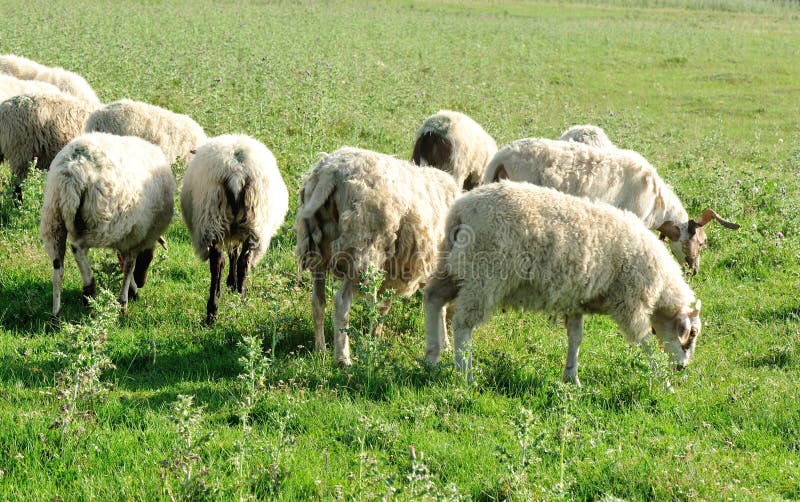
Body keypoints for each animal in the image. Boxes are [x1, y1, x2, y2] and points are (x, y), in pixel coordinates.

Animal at [39, 132, 175, 317]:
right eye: (150, 257)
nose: (142, 283)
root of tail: (72, 170)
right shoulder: (136, 233)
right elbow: (129, 266)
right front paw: (124, 301)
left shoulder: (127, 235)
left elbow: (124, 262)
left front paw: (131, 292)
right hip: (101, 222)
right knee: (78, 247)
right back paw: (89, 290)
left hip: (53, 217)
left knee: (57, 267)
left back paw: (56, 313)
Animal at [180, 134, 289, 324]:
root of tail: (236, 172)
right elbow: (233, 254)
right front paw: (232, 284)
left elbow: (231, 254)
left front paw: (230, 284)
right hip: (246, 222)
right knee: (238, 262)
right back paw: (239, 299)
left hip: (216, 219)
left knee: (220, 262)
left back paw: (214, 310)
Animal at [294, 147, 460, 365]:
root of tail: (330, 173)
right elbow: (437, 307)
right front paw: (446, 344)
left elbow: (384, 305)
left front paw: (375, 338)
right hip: (362, 252)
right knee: (341, 303)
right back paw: (343, 358)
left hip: (317, 249)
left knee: (317, 301)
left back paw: (320, 349)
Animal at [424, 181, 703, 384]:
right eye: (692, 333)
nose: (682, 368)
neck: (661, 286)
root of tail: (462, 210)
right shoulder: (630, 303)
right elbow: (645, 342)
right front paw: (662, 381)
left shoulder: (576, 300)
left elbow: (576, 339)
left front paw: (572, 378)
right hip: (484, 273)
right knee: (462, 323)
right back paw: (465, 374)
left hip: (452, 264)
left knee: (433, 298)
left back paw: (431, 356)